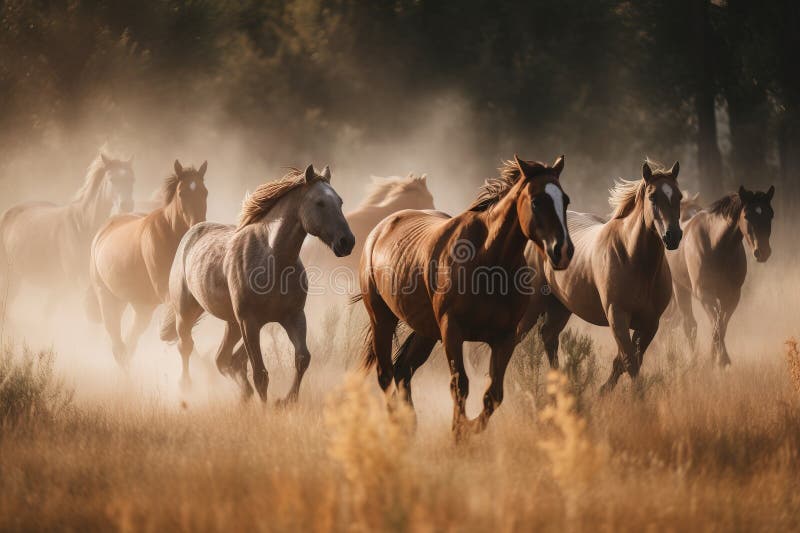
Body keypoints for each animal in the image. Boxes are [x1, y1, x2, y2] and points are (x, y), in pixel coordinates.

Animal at [88, 160, 208, 368]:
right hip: (108, 299)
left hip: (140, 306)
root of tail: (103, 231)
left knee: (129, 343)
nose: (198, 226)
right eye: (182, 193)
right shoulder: (166, 292)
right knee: (119, 348)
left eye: (205, 192)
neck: (171, 235)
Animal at [159, 165, 355, 401]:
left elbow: (302, 359)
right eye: (320, 203)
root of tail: (191, 233)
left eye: (340, 202)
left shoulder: (294, 317)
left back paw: (243, 395)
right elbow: (260, 374)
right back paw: (187, 388)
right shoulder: (250, 322)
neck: (272, 260)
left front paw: (286, 400)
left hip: (233, 324)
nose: (347, 242)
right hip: (187, 314)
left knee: (224, 359)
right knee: (187, 346)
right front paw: (267, 406)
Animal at [357, 155, 573, 437]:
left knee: (403, 370)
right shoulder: (453, 331)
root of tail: (380, 229)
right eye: (536, 201)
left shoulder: (505, 338)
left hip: (426, 332)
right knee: (385, 374)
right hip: (382, 319)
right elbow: (460, 386)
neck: (489, 262)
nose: (563, 251)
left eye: (565, 200)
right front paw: (459, 434)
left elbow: (493, 395)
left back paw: (410, 425)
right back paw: (397, 425)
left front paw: (468, 429)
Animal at [516, 160, 682, 393]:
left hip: (560, 306)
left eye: (679, 196)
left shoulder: (650, 323)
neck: (633, 259)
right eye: (652, 197)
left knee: (548, 336)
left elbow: (626, 360)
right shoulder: (617, 316)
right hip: (533, 305)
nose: (673, 236)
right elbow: (629, 361)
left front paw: (603, 391)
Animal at [667, 186, 774, 366]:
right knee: (689, 325)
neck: (716, 245)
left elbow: (720, 327)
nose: (763, 252)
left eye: (770, 214)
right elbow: (715, 327)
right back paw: (692, 359)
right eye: (747, 215)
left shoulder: (731, 296)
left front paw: (718, 358)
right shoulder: (705, 295)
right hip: (679, 288)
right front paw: (720, 359)